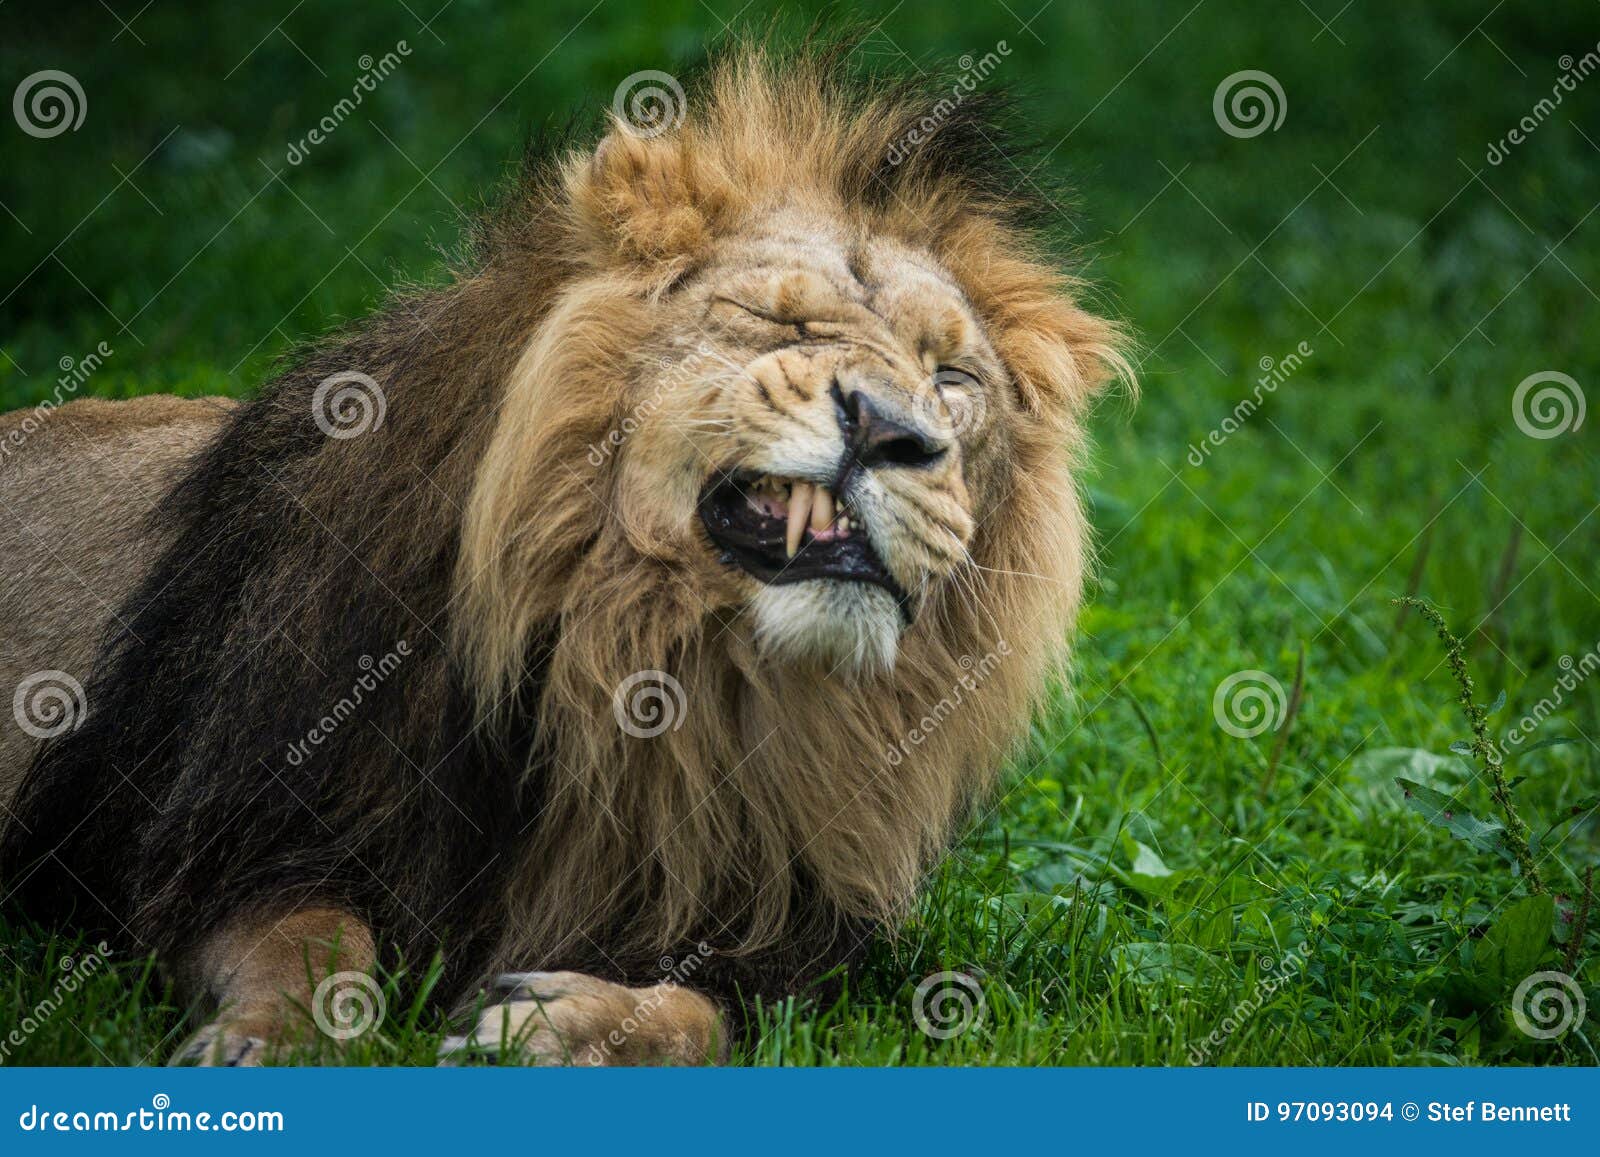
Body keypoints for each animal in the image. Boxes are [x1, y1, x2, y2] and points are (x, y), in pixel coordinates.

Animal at [0, 43, 1128, 1066]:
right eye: (771, 316)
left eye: (953, 380)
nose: (888, 426)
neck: (654, 662)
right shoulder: (211, 840)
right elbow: (310, 947)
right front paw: (265, 1044)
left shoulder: (786, 952)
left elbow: (700, 1014)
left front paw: (559, 1025)